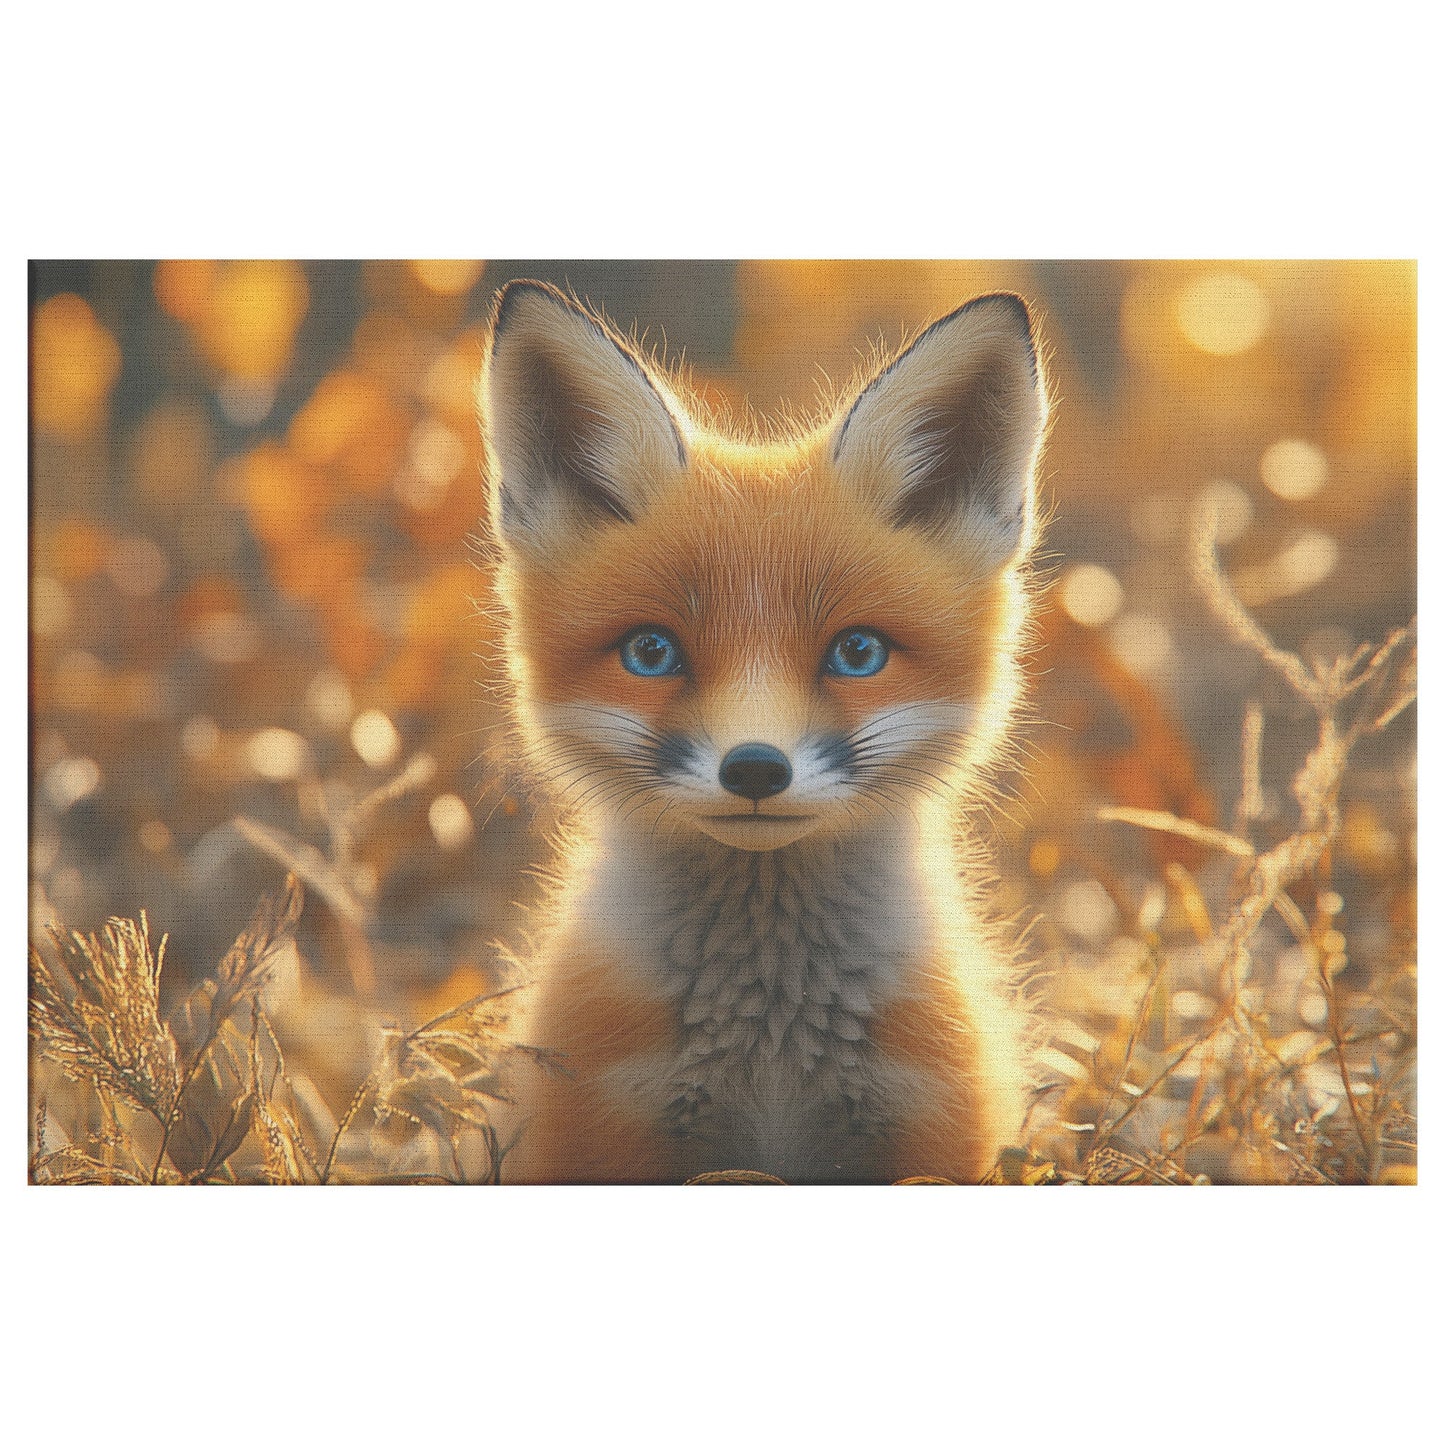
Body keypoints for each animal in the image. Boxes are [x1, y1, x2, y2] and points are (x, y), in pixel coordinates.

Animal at [477, 278, 1048, 1183]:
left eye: (857, 652)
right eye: (651, 652)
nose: (752, 769)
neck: (770, 1041)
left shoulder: (931, 1127)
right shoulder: (595, 1125)